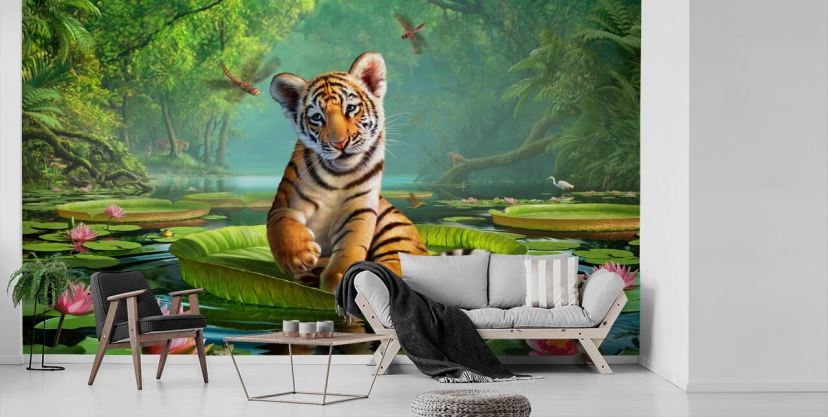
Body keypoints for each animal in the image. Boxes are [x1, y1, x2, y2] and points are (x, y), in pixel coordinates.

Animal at [267, 51, 428, 292]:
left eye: (351, 108)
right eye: (317, 117)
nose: (340, 143)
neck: (338, 176)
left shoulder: (360, 209)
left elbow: (351, 245)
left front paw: (340, 278)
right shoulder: (285, 203)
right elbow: (281, 224)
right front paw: (300, 255)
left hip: (393, 226)